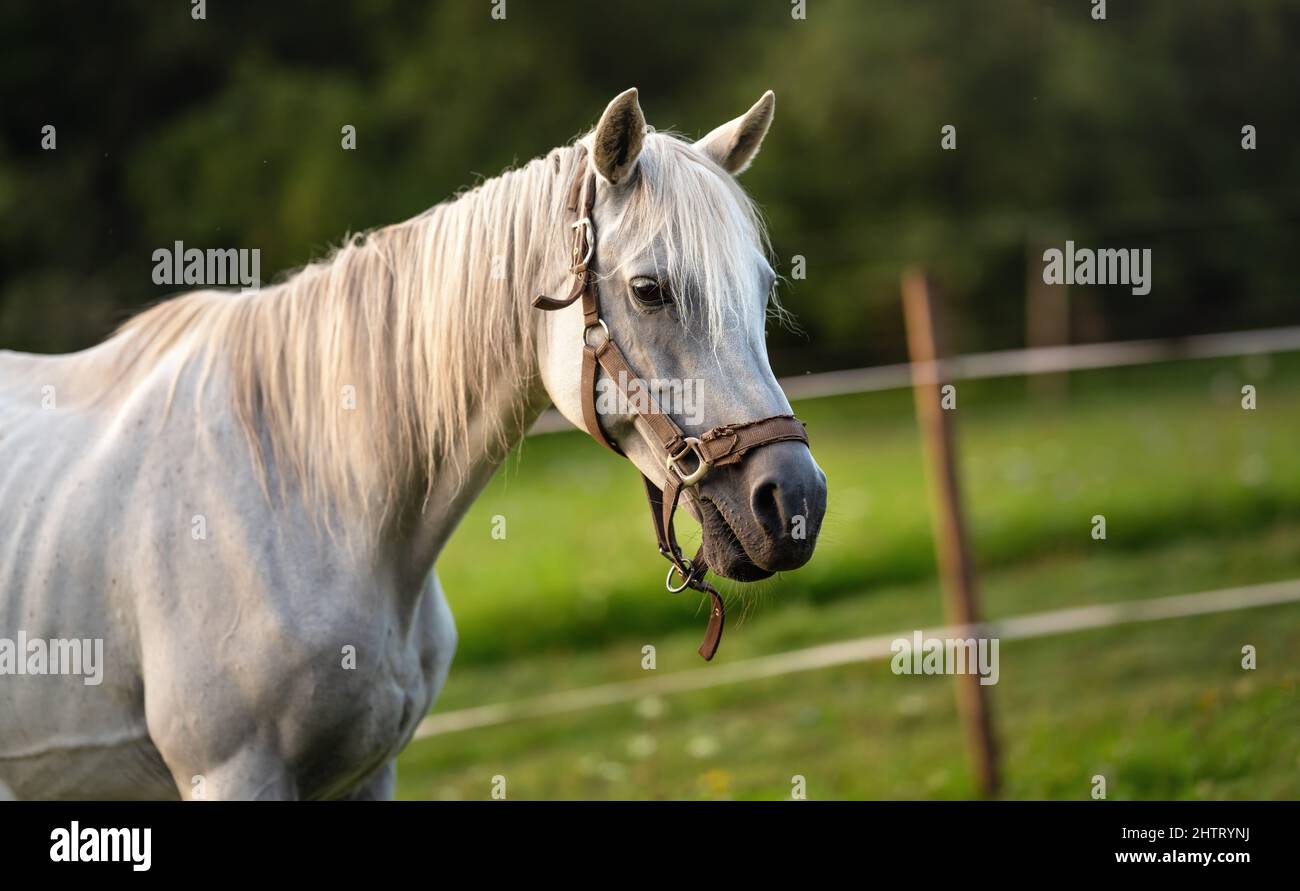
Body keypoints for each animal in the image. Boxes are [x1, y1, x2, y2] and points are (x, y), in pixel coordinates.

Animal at [0, 88, 827, 800]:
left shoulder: (369, 773)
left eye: (761, 289)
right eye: (651, 289)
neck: (307, 497)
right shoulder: (232, 774)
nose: (794, 500)